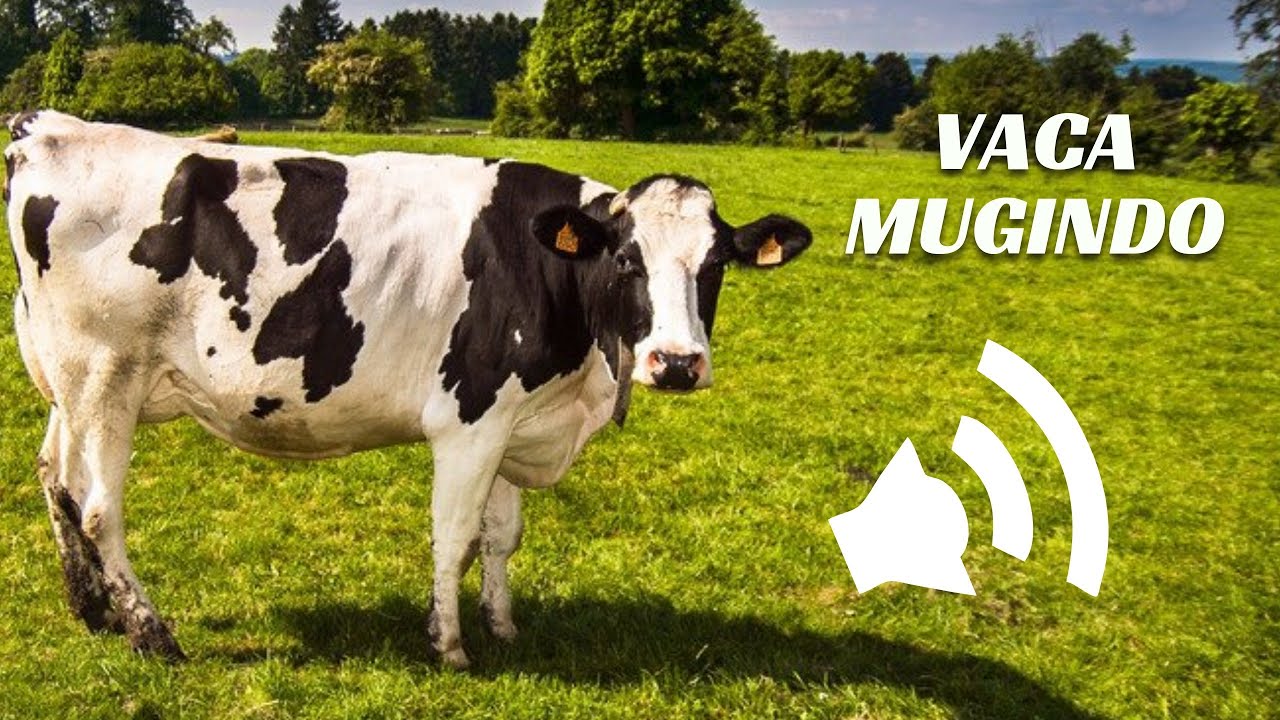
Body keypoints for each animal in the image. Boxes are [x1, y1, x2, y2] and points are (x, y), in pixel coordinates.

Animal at [3, 111, 811, 667]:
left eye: (715, 265)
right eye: (626, 260)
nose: (676, 363)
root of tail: (48, 127)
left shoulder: (515, 418)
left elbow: (501, 536)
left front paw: (503, 625)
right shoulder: (471, 418)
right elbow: (454, 535)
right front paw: (449, 644)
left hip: (70, 381)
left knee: (56, 479)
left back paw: (93, 609)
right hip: (106, 376)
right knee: (99, 508)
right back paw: (150, 632)